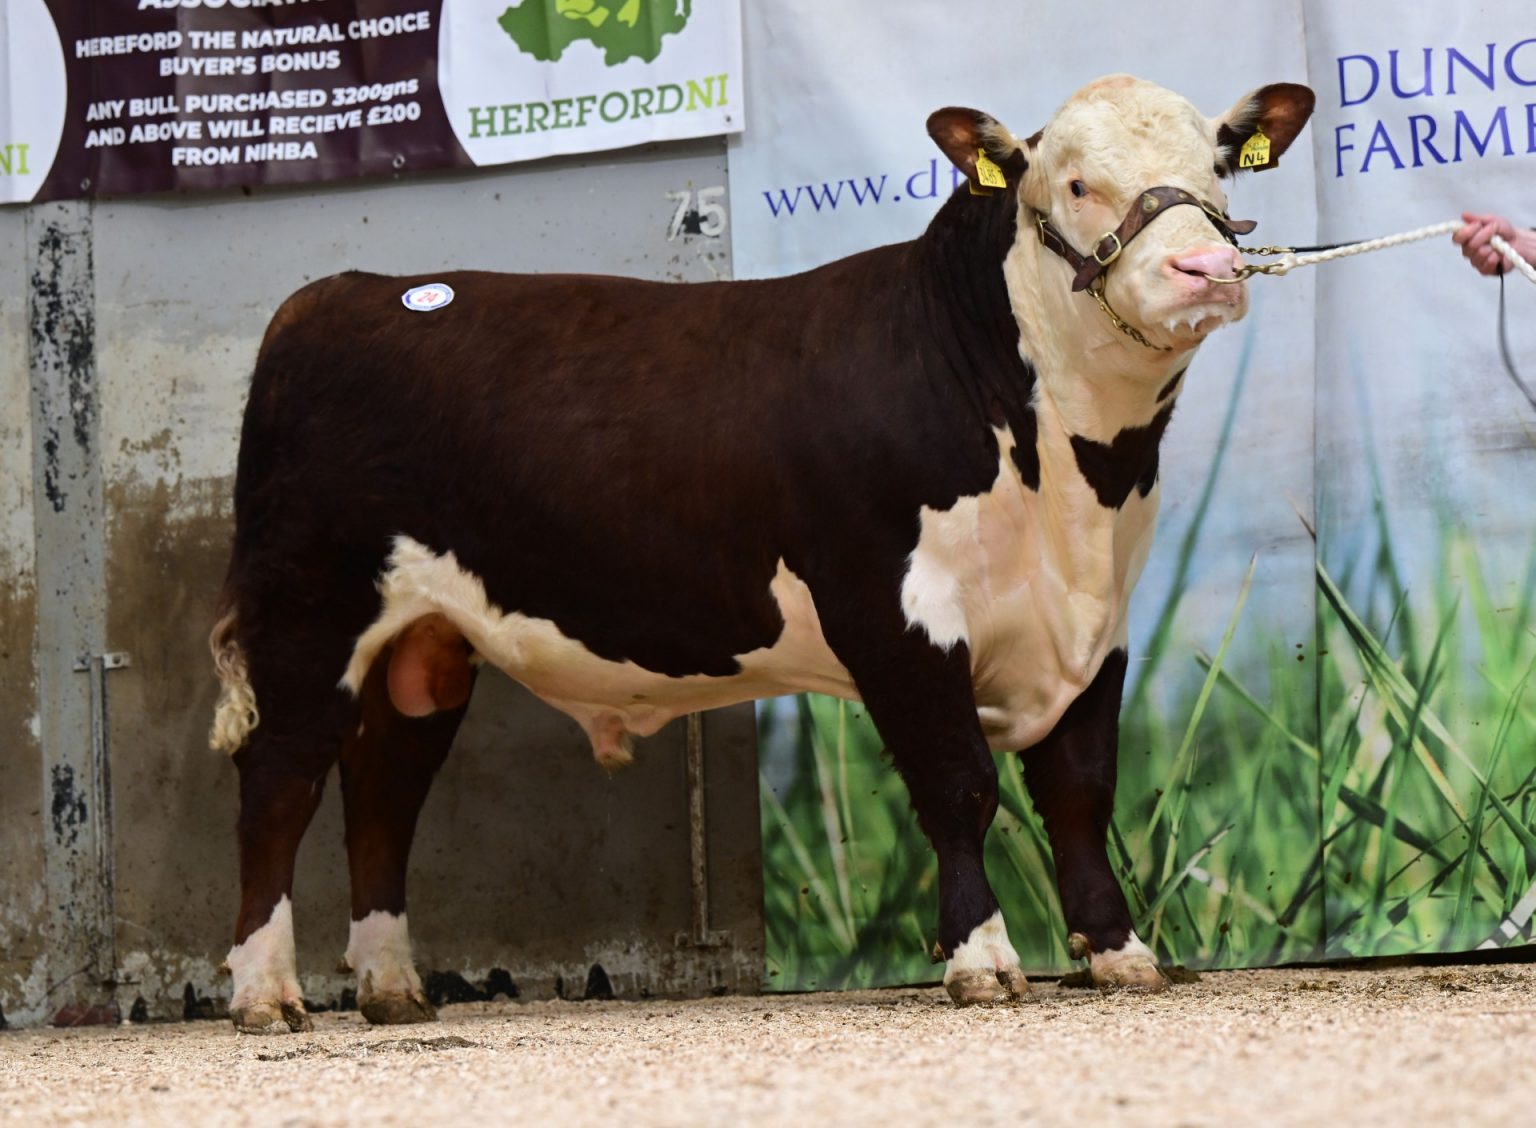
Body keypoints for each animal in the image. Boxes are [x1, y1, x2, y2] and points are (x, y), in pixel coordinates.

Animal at [210, 74, 1315, 1033]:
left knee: (382, 788)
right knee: (281, 781)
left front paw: (1122, 951)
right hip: (308, 611)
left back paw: (392, 988)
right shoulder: (894, 612)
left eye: (1220, 168)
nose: (1206, 270)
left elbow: (1081, 788)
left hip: (427, 642)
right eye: (1078, 183)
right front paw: (983, 960)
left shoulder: (1101, 620)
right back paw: (266, 993)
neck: (1068, 483)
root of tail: (345, 291)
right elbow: (960, 782)